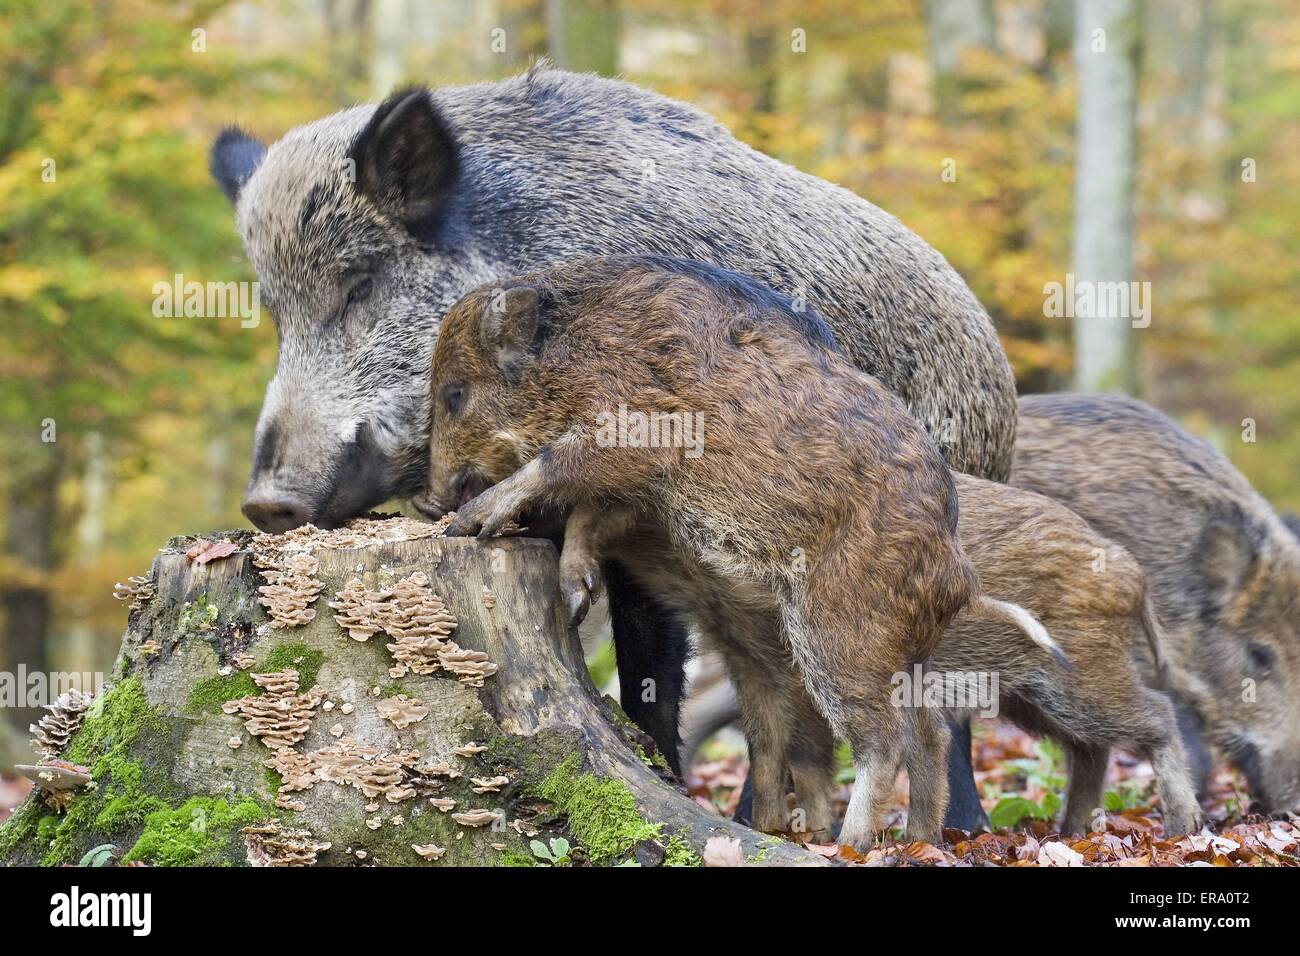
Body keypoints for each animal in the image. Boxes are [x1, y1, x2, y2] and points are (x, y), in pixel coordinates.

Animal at [416, 255, 1055, 848]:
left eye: (455, 395)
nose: (429, 502)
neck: (580, 351)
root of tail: (958, 574)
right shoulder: (646, 494)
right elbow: (586, 517)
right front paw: (571, 594)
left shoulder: (635, 434)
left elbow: (554, 471)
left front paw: (470, 525)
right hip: (901, 652)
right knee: (930, 734)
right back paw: (918, 840)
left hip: (842, 634)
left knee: (885, 739)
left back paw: (848, 844)